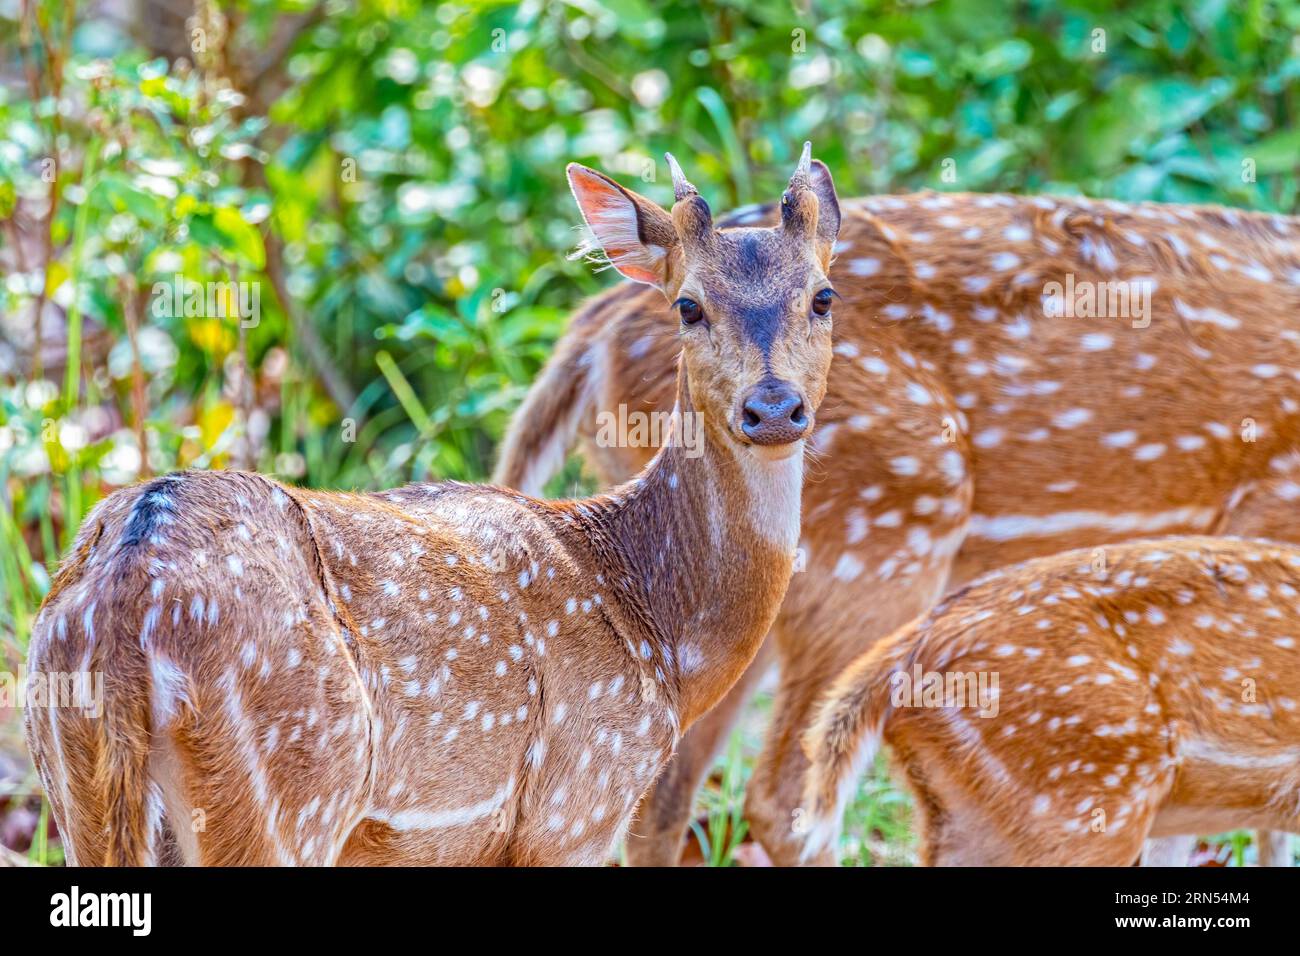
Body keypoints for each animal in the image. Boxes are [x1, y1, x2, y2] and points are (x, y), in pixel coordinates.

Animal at [22, 145, 842, 866]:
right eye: (689, 305)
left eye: (823, 296)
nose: (772, 408)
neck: (658, 638)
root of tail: (125, 606)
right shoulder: (577, 807)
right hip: (285, 794)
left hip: (76, 783)